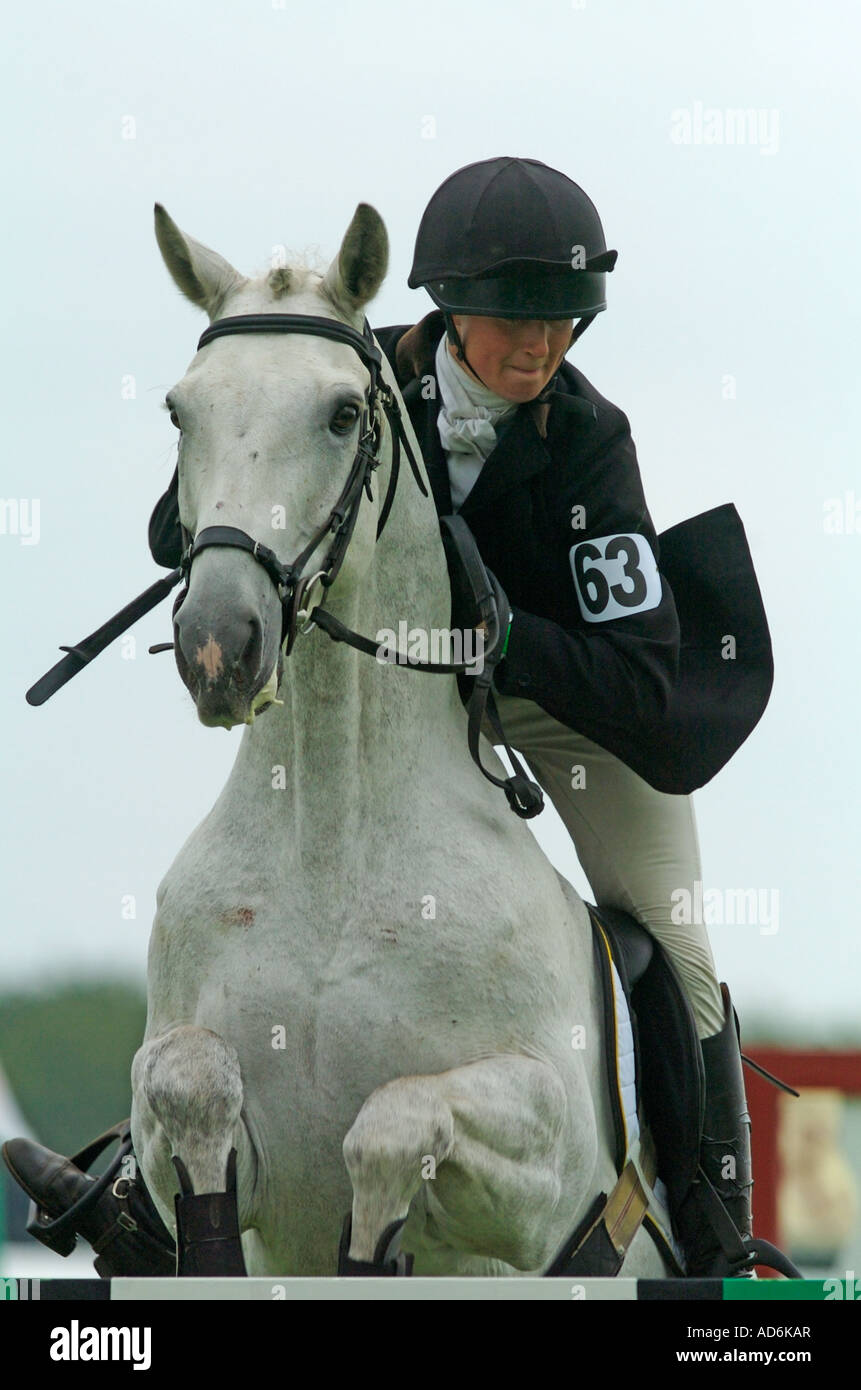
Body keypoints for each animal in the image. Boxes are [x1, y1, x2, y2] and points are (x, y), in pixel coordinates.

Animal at [129, 200, 674, 1278]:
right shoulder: (173, 1088)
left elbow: (389, 1128)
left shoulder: (539, 1155)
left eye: (344, 414)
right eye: (179, 412)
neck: (332, 834)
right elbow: (189, 1081)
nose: (217, 646)